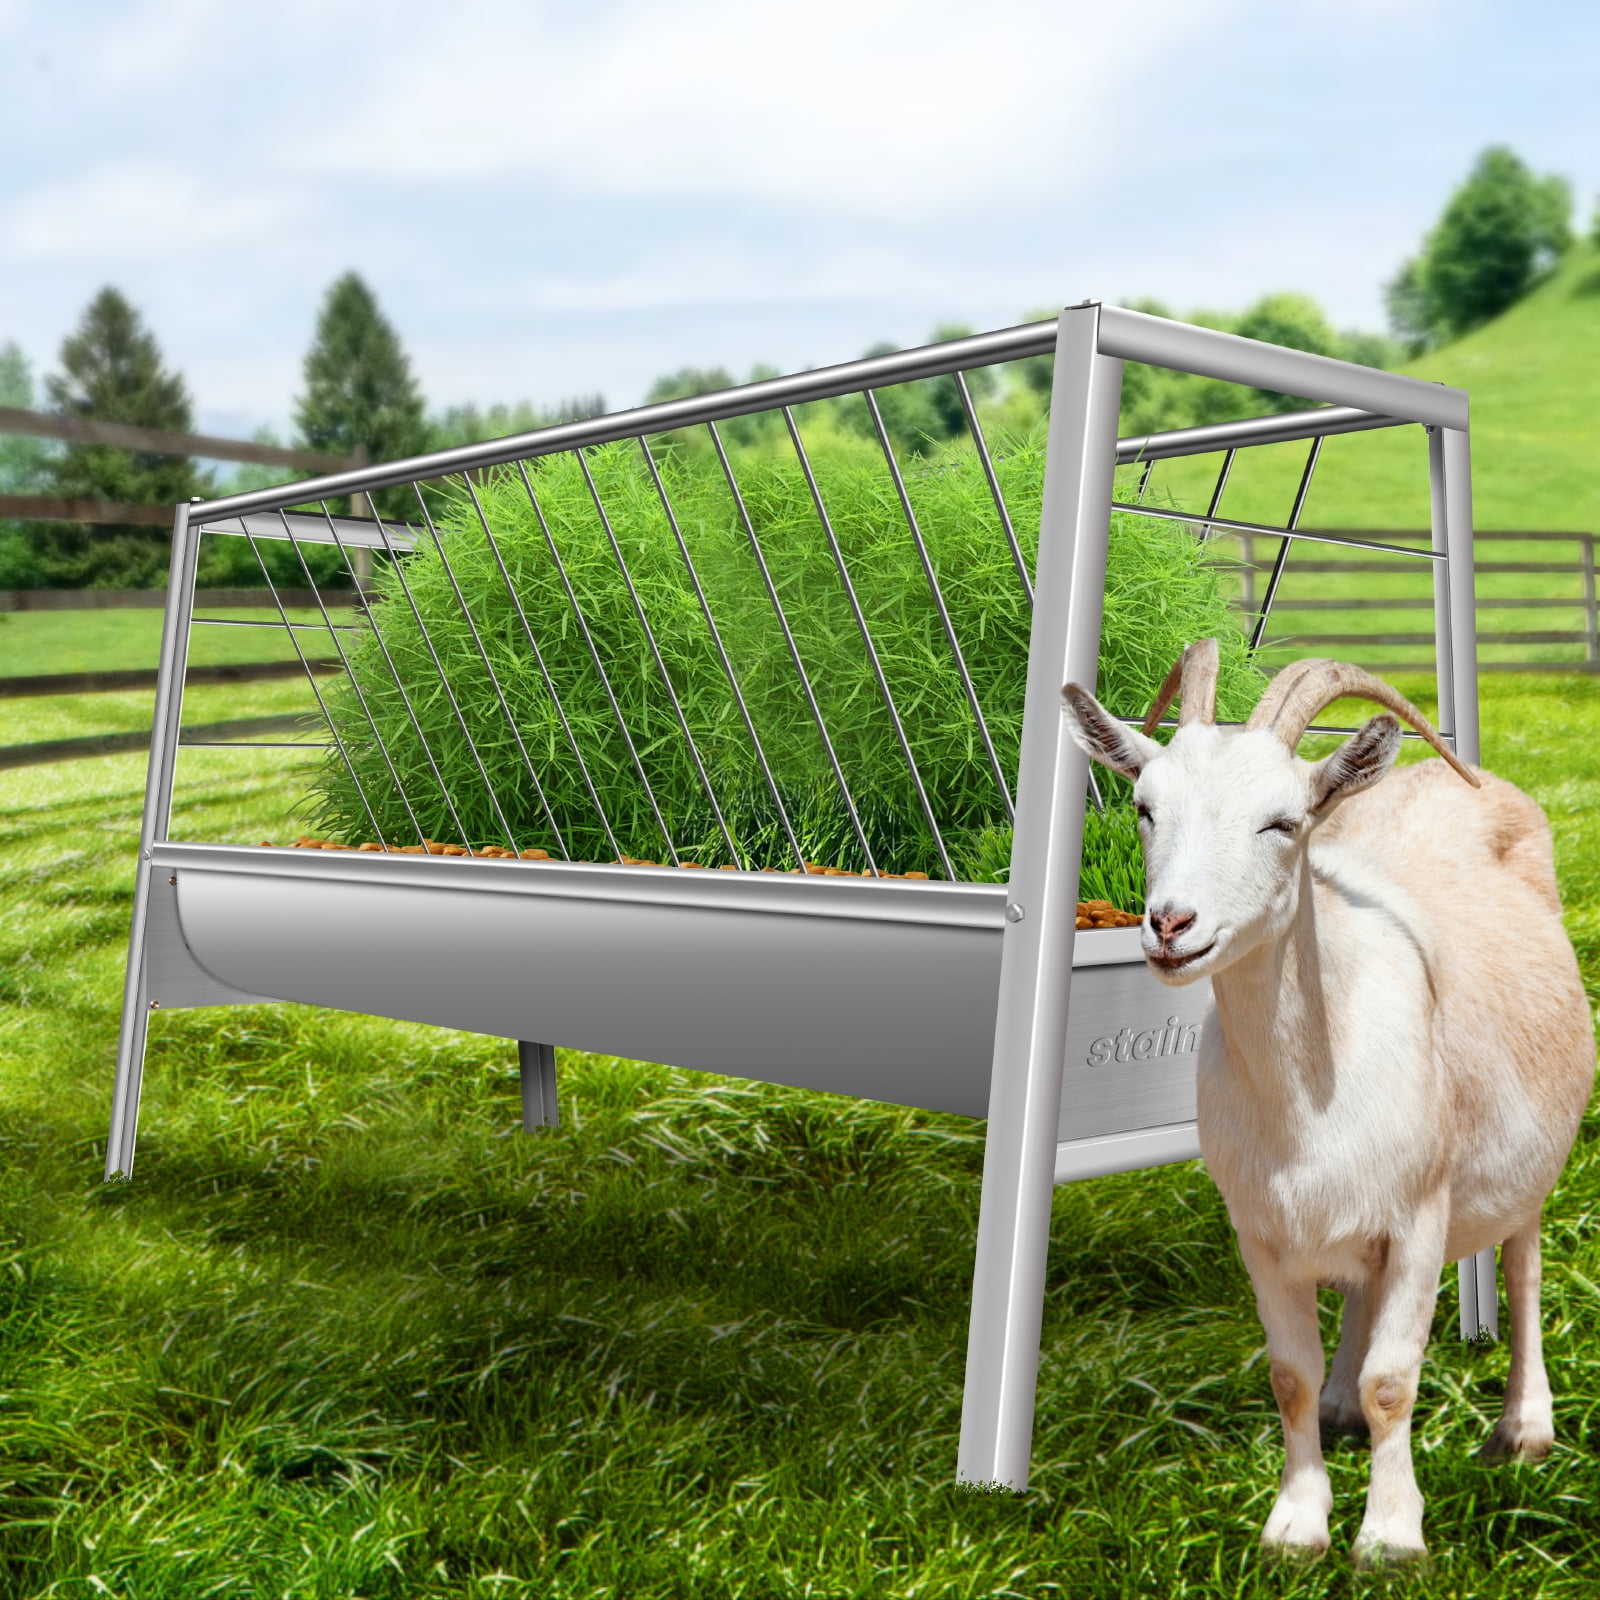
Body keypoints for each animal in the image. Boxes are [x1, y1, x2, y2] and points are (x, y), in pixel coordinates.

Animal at [1060, 641, 1594, 1565]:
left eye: (1281, 823)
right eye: (1143, 807)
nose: (1170, 925)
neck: (1308, 1092)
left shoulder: (1420, 1216)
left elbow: (1395, 1380)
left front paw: (1390, 1537)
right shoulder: (1262, 1229)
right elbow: (1290, 1377)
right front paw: (1297, 1524)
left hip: (1530, 1155)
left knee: (1523, 1260)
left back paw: (1522, 1430)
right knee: (1358, 1294)